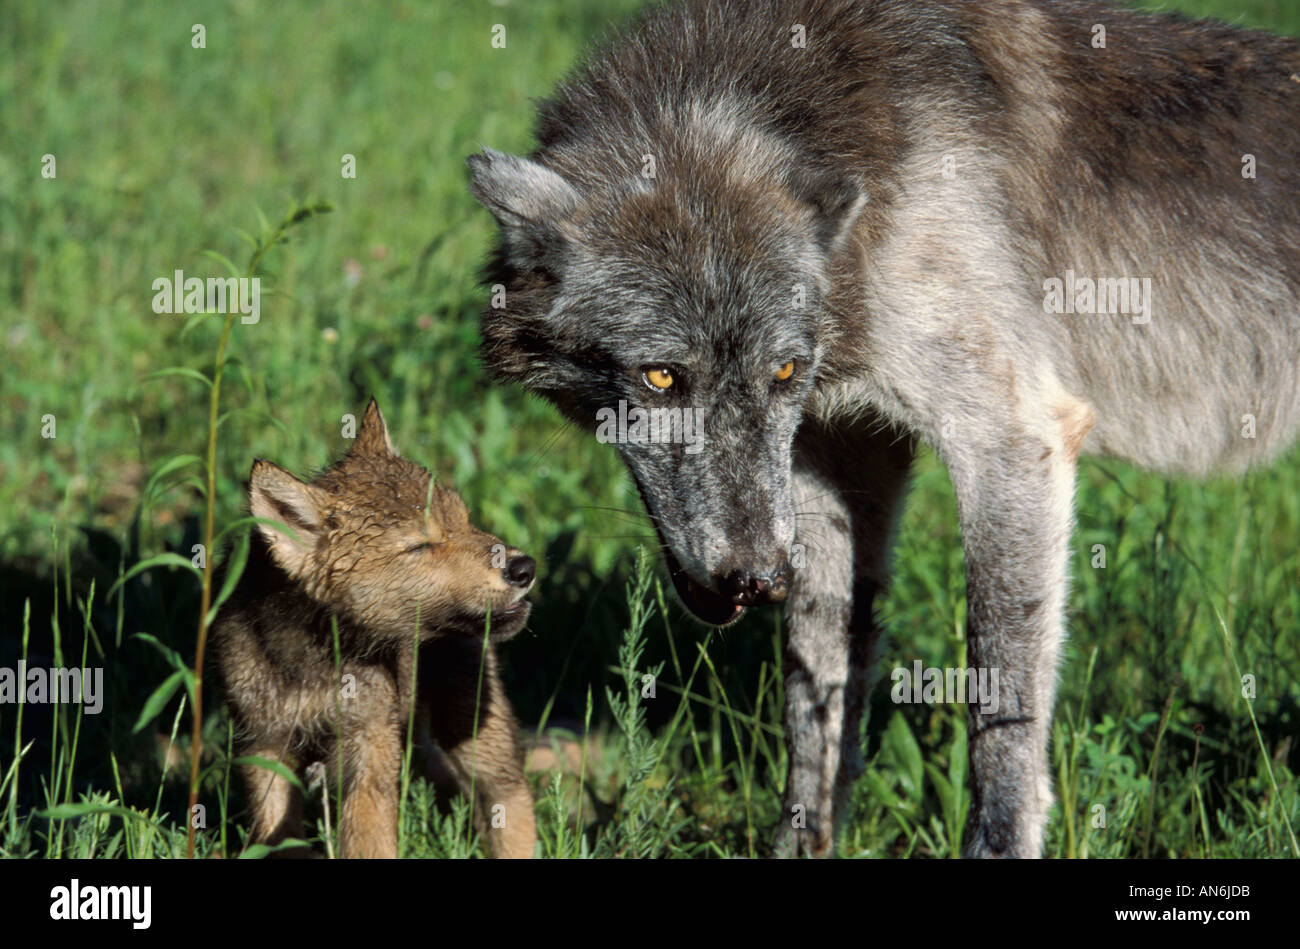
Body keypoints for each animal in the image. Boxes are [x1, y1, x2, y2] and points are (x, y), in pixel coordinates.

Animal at [211, 400, 538, 858]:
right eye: (420, 546)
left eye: (464, 520)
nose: (525, 567)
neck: (315, 661)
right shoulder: (266, 745)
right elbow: (281, 836)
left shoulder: (370, 742)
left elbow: (367, 840)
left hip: (471, 729)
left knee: (510, 798)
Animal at [467, 0, 1300, 857]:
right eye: (663, 377)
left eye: (783, 372)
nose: (755, 579)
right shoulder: (838, 455)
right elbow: (818, 691)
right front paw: (800, 843)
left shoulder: (1013, 442)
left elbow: (1001, 709)